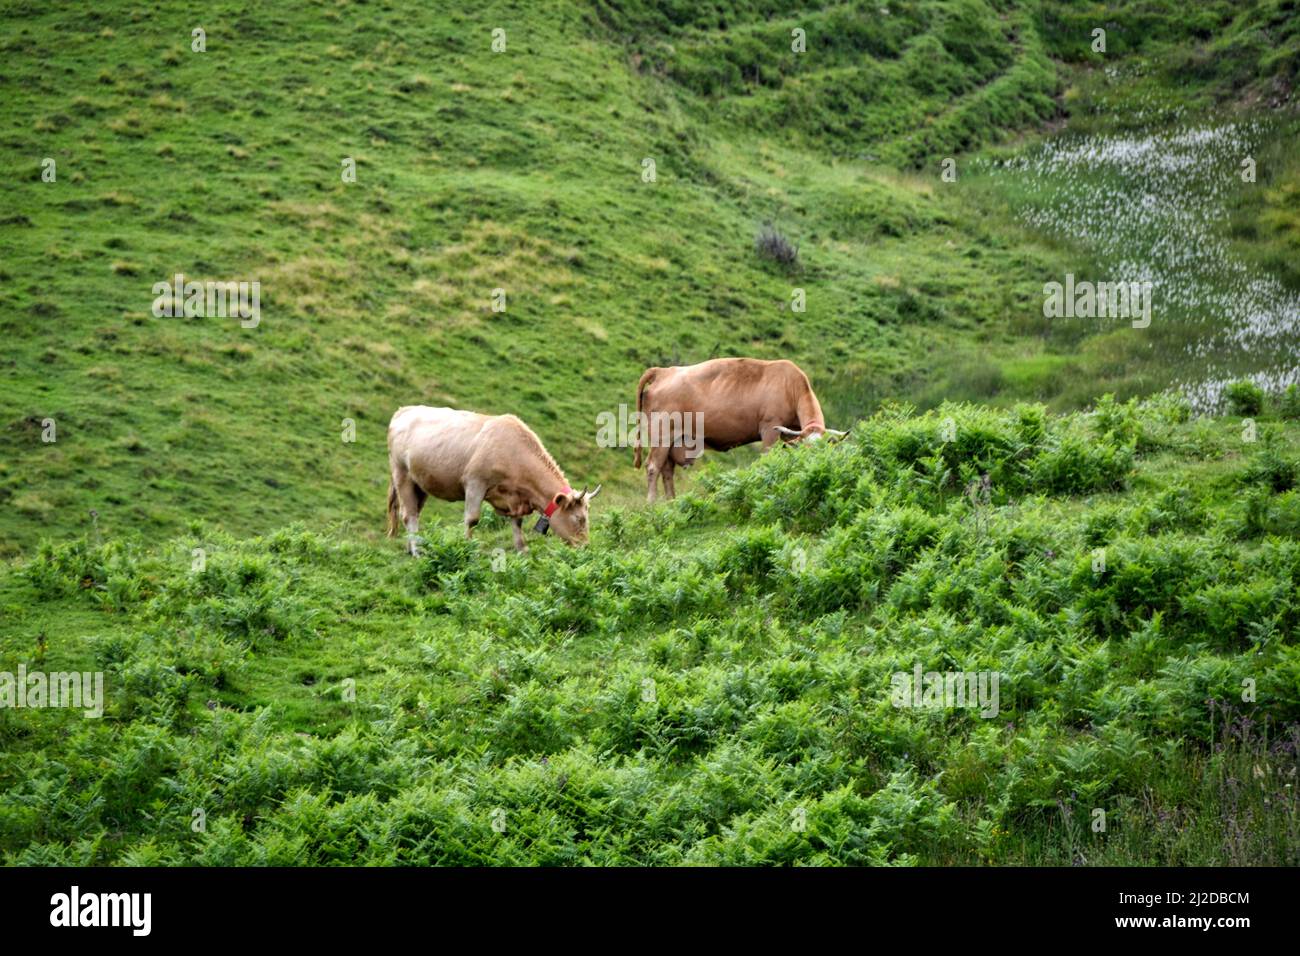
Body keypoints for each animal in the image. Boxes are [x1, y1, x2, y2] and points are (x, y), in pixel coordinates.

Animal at [386, 405, 600, 555]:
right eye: (579, 519)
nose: (586, 546)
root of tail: (403, 410)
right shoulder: (474, 483)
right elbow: (472, 519)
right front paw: (468, 547)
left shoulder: (515, 498)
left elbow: (517, 522)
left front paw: (522, 549)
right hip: (402, 475)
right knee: (409, 515)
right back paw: (417, 551)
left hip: (419, 484)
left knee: (413, 512)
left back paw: (410, 547)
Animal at [632, 357, 846, 502]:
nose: (815, 468)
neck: (790, 386)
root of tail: (663, 372)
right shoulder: (770, 429)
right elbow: (768, 460)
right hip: (661, 435)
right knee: (653, 467)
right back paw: (652, 504)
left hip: (673, 440)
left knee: (667, 470)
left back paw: (671, 502)